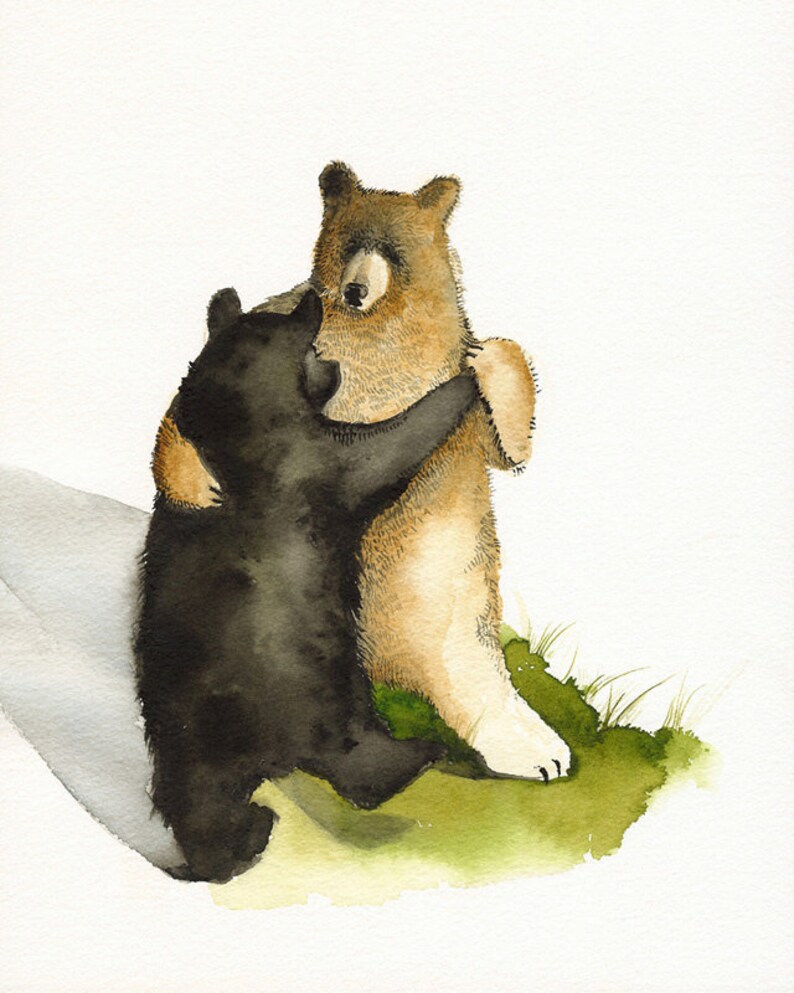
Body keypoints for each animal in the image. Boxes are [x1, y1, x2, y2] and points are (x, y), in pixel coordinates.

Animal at [136, 287, 481, 882]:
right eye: (316, 348)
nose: (336, 364)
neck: (237, 417)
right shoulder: (310, 458)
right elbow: (387, 445)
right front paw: (467, 376)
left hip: (191, 741)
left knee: (197, 804)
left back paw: (239, 839)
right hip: (322, 684)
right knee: (354, 756)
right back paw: (419, 755)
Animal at [152, 164, 571, 782]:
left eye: (393, 251)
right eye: (350, 243)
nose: (354, 291)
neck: (378, 329)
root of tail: (389, 671)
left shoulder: (451, 396)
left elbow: (506, 439)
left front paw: (491, 365)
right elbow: (189, 403)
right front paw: (196, 484)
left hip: (445, 590)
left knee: (468, 664)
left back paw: (535, 749)